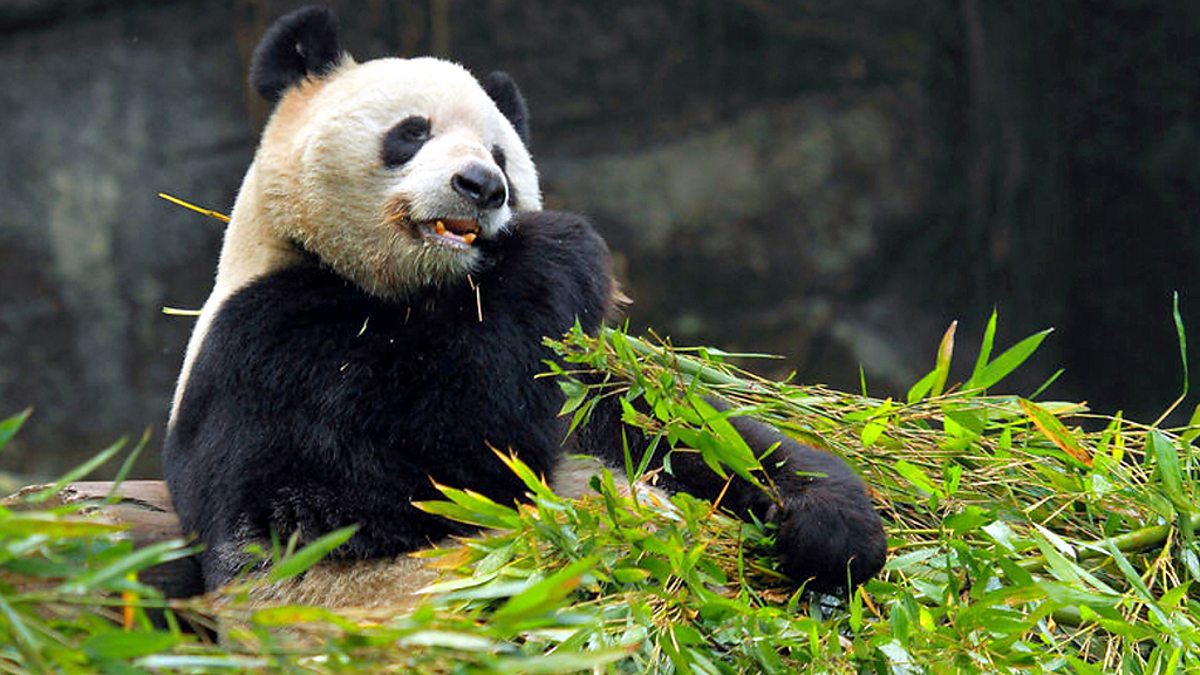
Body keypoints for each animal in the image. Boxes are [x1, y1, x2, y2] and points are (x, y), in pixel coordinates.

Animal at [163, 6, 886, 609]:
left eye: (501, 154)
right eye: (412, 131)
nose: (483, 185)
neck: (417, 290)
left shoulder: (573, 376)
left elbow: (686, 429)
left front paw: (830, 524)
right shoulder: (271, 342)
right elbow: (396, 478)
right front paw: (560, 246)